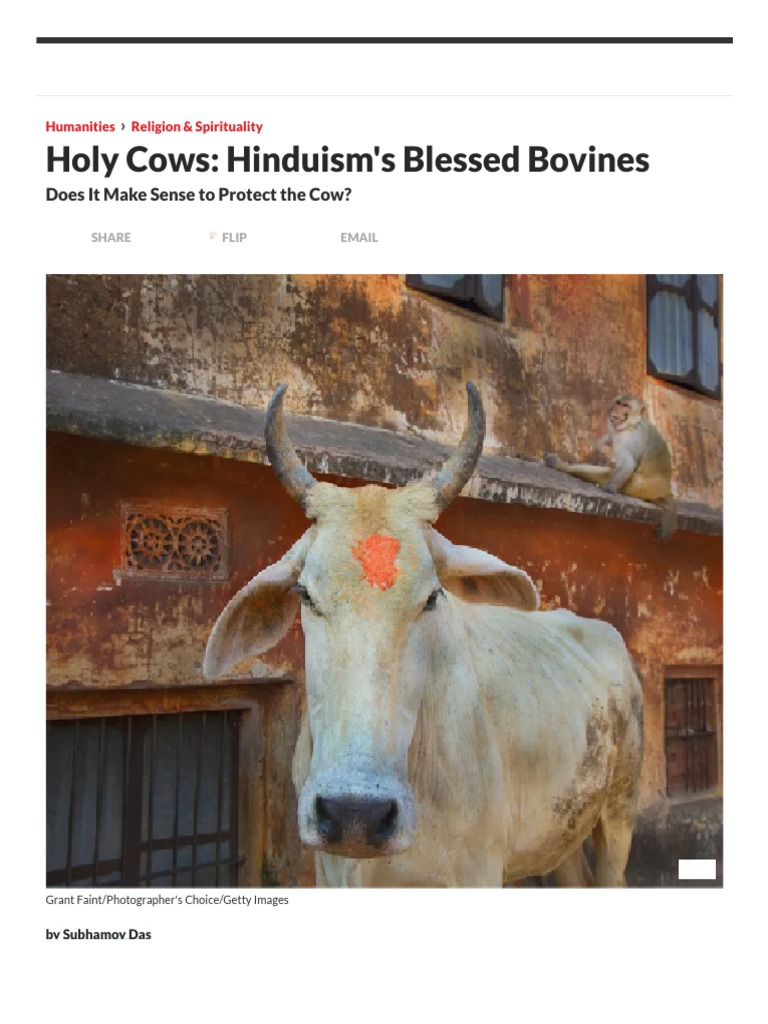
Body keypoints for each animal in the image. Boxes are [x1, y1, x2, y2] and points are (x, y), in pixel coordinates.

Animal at [204, 383, 643, 887]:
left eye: (432, 597)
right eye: (306, 594)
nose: (356, 814)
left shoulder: (477, 872)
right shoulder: (328, 871)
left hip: (619, 811)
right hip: (560, 831)